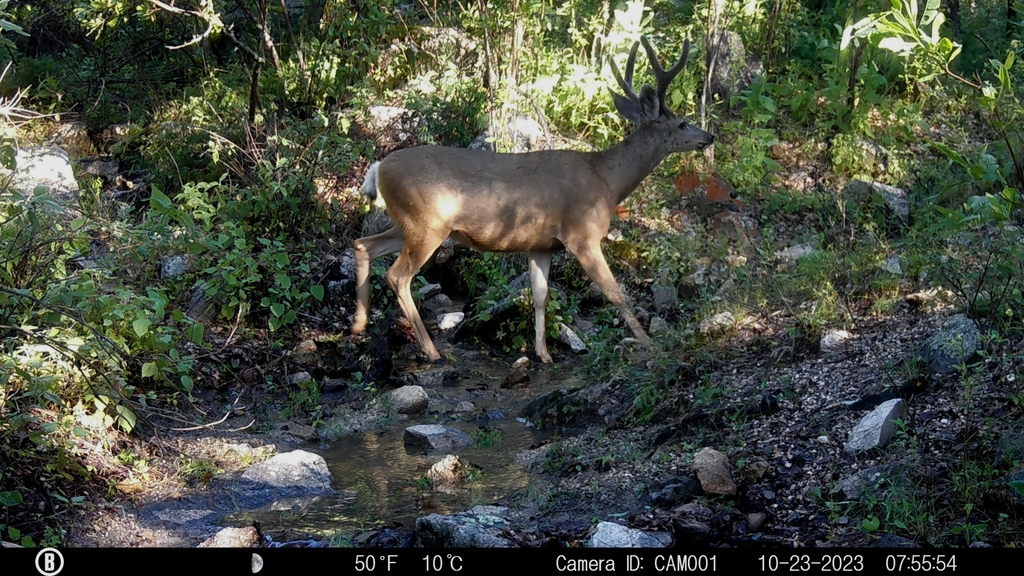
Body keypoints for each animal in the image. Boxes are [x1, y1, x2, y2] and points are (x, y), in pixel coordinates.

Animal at [351, 36, 713, 364]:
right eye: (682, 122)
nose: (709, 136)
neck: (607, 180)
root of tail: (379, 167)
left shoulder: (541, 245)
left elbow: (540, 295)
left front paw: (544, 354)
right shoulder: (582, 235)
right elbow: (614, 291)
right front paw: (649, 344)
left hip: (409, 222)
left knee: (363, 244)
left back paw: (359, 324)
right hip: (427, 224)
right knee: (398, 275)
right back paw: (431, 351)